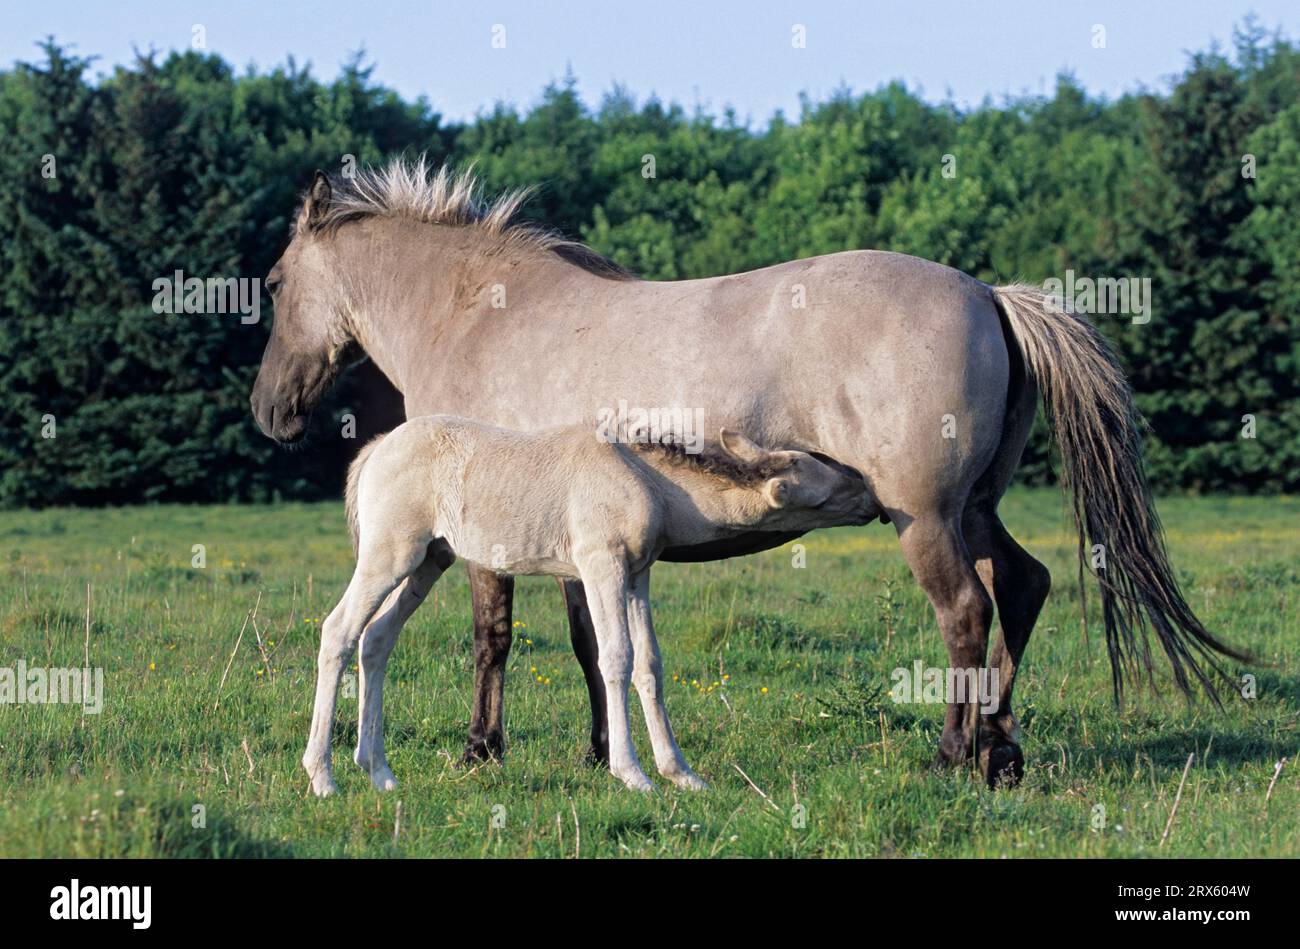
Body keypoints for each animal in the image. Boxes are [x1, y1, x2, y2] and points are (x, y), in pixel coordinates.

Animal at [306, 416, 875, 795]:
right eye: (826, 487)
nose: (871, 492)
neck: (651, 483)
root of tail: (375, 450)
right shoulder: (602, 565)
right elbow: (615, 659)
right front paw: (634, 774)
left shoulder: (638, 574)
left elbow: (650, 665)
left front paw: (683, 774)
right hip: (390, 554)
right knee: (339, 631)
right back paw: (323, 777)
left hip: (429, 560)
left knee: (377, 638)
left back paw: (379, 771)